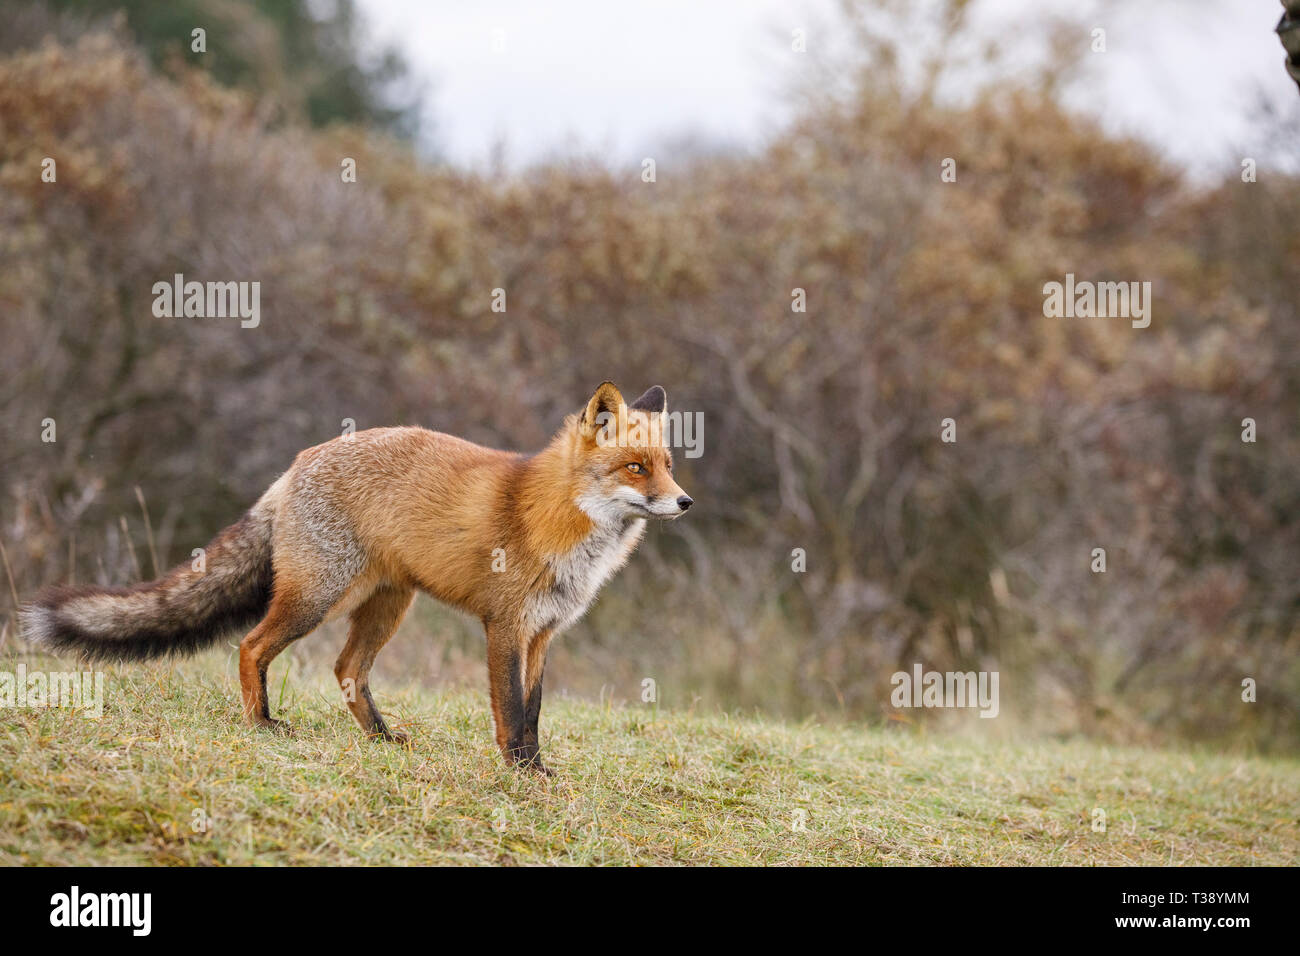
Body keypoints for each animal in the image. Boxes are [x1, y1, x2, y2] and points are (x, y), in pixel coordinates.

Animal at [21, 382, 691, 773]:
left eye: (667, 465)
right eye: (636, 468)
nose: (685, 502)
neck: (563, 523)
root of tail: (295, 464)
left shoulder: (543, 633)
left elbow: (533, 709)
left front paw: (535, 768)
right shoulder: (505, 626)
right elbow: (509, 707)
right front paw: (519, 773)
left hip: (387, 606)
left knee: (346, 670)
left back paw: (381, 738)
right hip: (315, 598)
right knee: (251, 646)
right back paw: (262, 723)